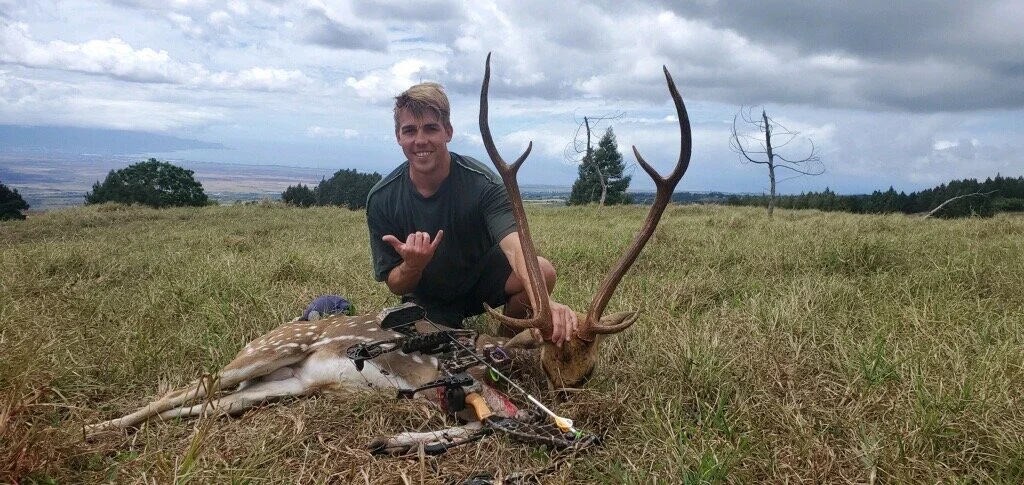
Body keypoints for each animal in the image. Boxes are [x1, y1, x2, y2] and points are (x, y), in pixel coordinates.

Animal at [85, 54, 692, 454]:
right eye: (547, 362)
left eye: (588, 373)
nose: (567, 397)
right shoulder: (442, 388)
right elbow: (478, 419)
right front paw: (405, 438)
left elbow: (482, 421)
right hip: (266, 350)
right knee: (194, 383)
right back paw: (92, 429)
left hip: (281, 384)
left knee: (212, 402)